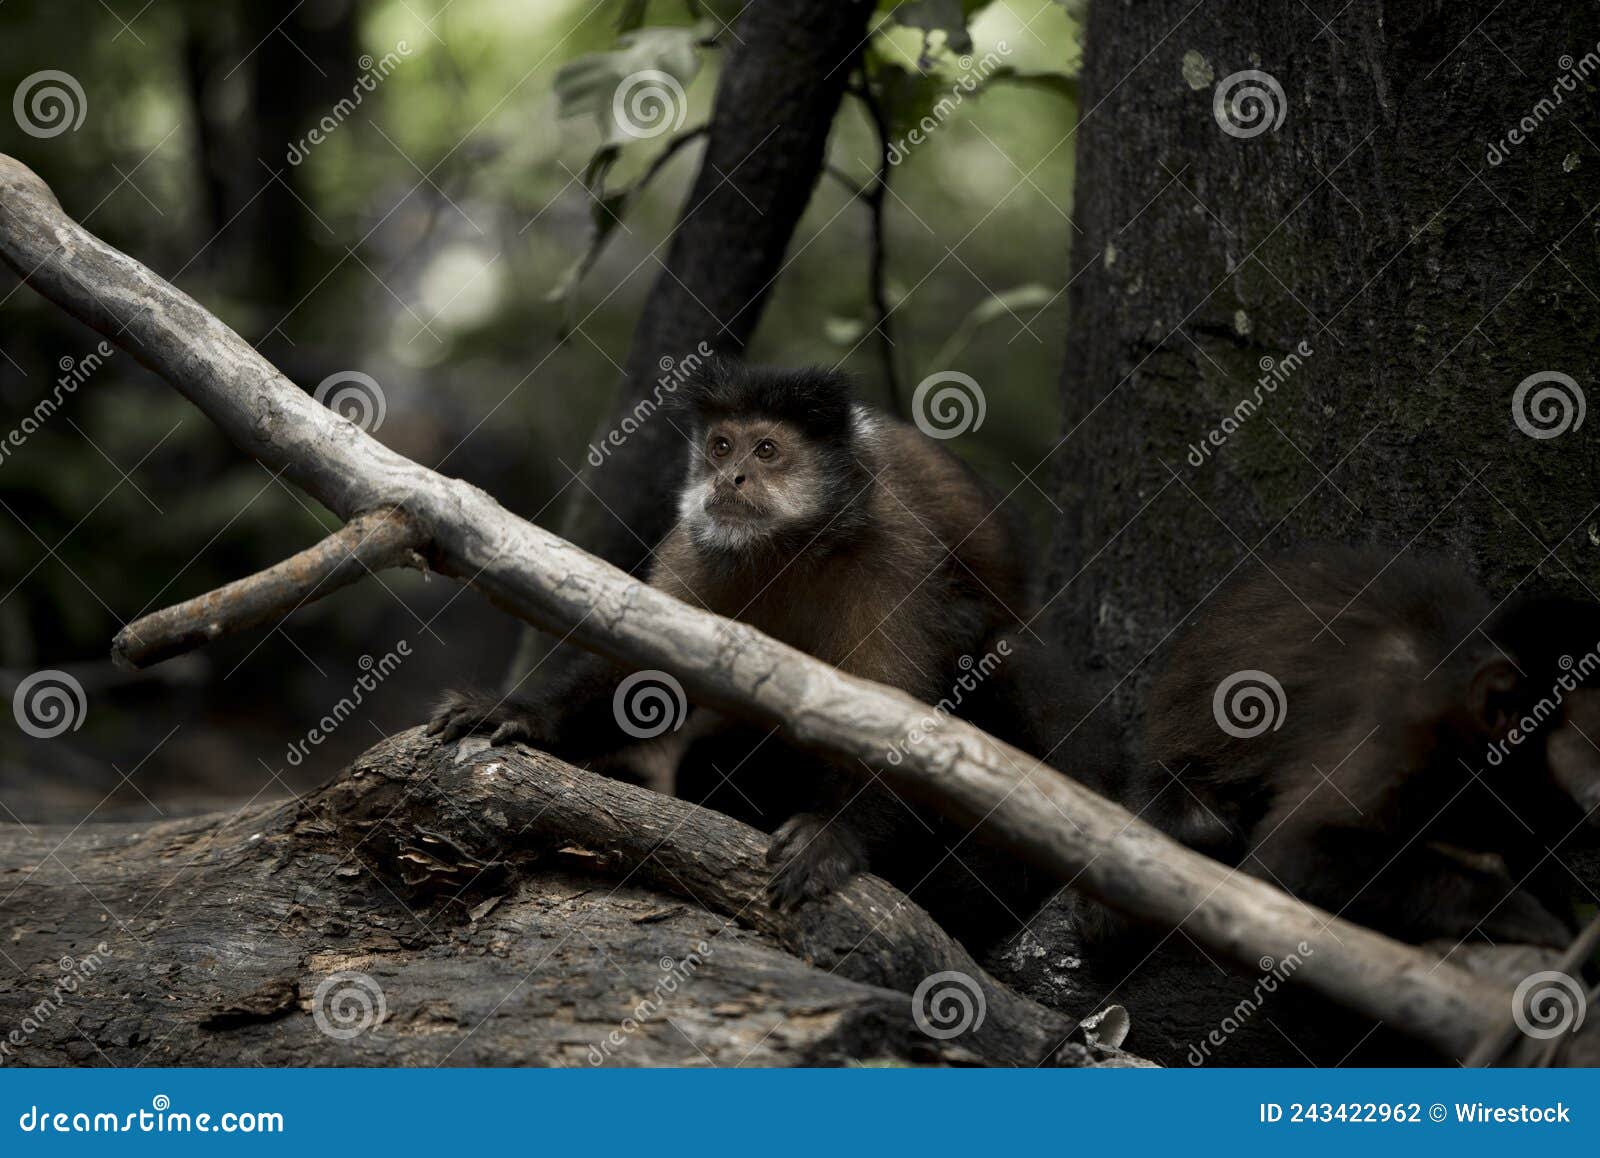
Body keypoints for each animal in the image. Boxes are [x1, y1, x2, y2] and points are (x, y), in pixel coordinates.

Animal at [428, 359, 1059, 945]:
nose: (729, 478)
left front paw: (833, 836)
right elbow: (650, 677)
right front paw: (523, 714)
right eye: (721, 446)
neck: (790, 548)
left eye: (767, 450)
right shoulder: (698, 544)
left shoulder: (895, 554)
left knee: (1007, 657)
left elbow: (908, 716)